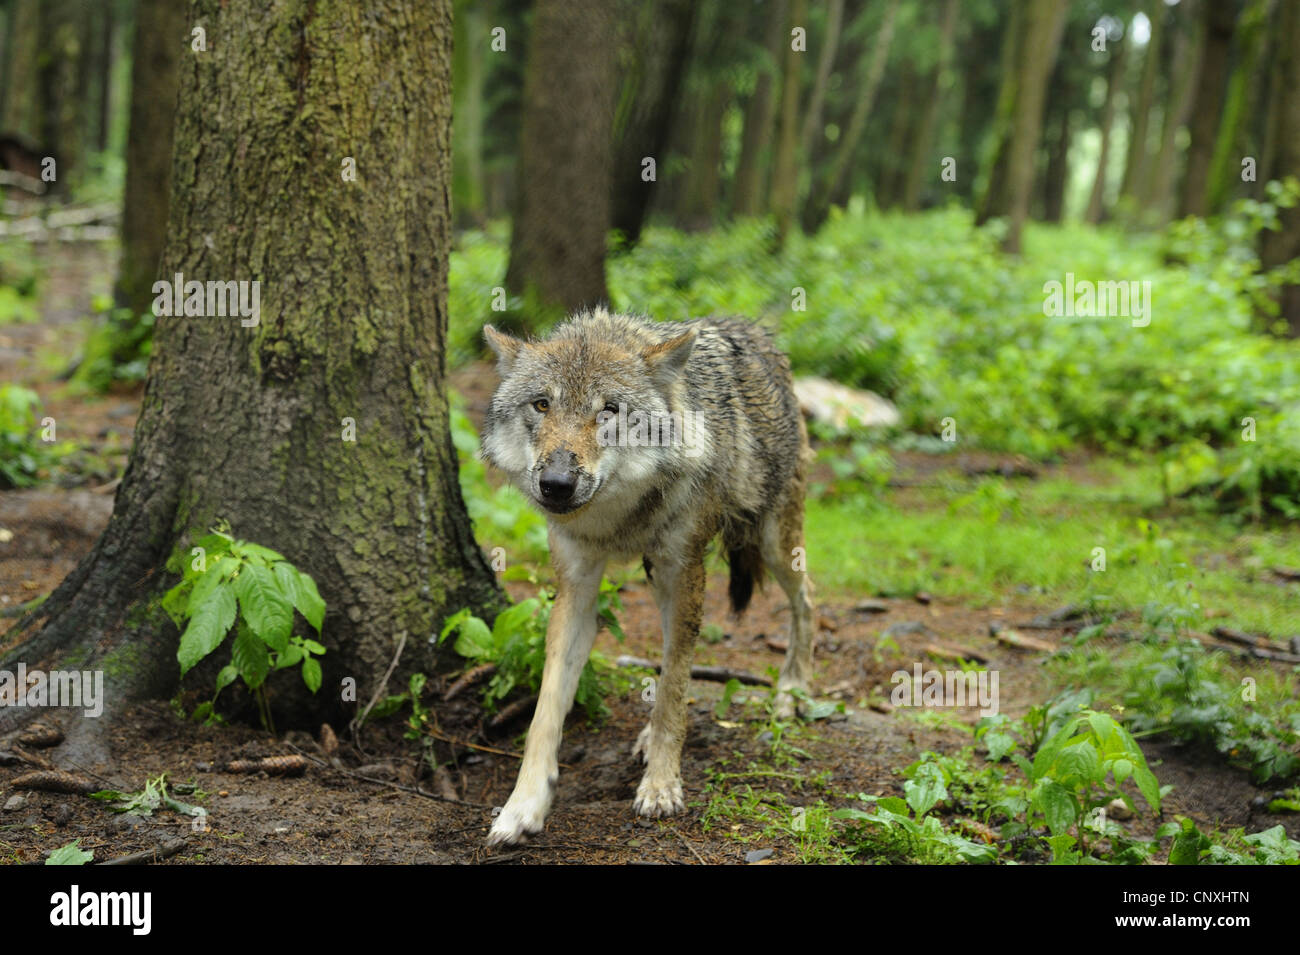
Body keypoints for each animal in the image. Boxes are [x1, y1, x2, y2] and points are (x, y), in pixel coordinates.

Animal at [479, 308, 815, 846]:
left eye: (609, 411)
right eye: (541, 404)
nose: (556, 485)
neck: (618, 519)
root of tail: (751, 329)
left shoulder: (686, 570)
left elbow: (675, 686)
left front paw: (660, 786)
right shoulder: (576, 584)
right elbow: (546, 709)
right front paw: (522, 806)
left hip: (773, 545)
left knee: (807, 602)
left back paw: (791, 693)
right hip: (659, 577)